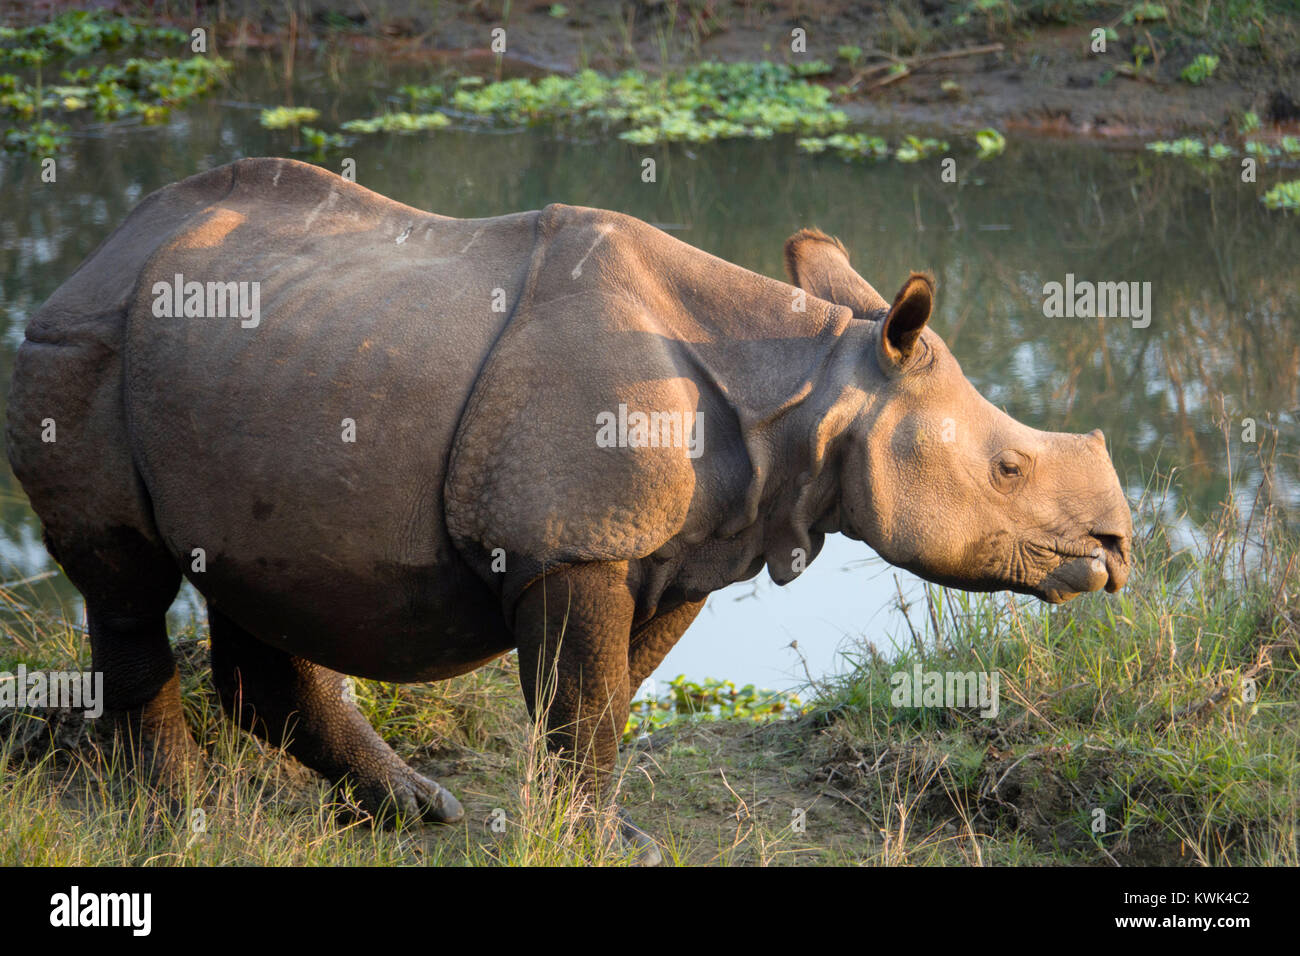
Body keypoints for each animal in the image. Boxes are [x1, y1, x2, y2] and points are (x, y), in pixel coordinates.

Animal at [5, 157, 1131, 861]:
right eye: (1008, 470)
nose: (1117, 547)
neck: (808, 391)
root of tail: (106, 248)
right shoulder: (571, 545)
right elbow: (584, 701)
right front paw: (599, 841)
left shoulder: (681, 544)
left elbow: (603, 696)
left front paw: (574, 827)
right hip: (82, 344)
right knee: (126, 579)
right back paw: (178, 815)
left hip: (251, 359)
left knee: (251, 575)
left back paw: (413, 808)